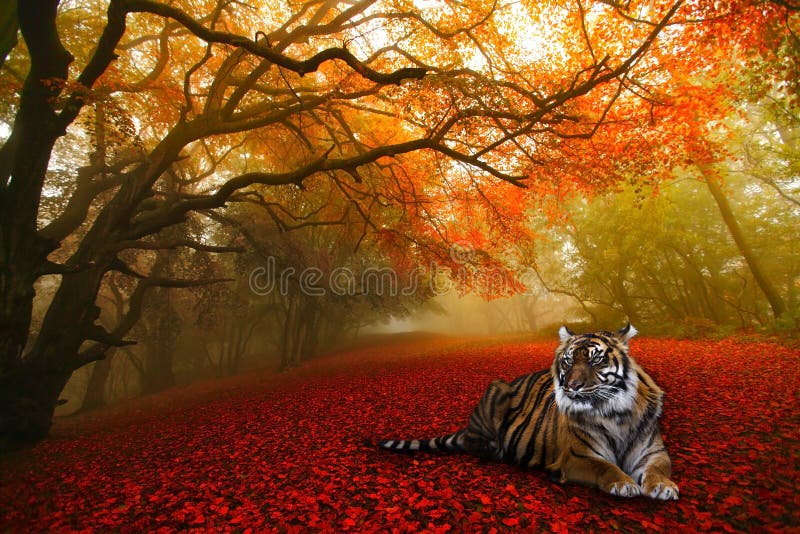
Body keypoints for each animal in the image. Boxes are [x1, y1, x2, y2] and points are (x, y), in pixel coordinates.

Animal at [379, 324, 678, 499]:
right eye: (568, 361)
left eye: (596, 360)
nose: (572, 386)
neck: (616, 414)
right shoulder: (578, 456)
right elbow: (604, 465)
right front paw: (624, 483)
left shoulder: (653, 452)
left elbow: (657, 469)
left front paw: (663, 486)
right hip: (496, 389)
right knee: (473, 442)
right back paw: (495, 449)